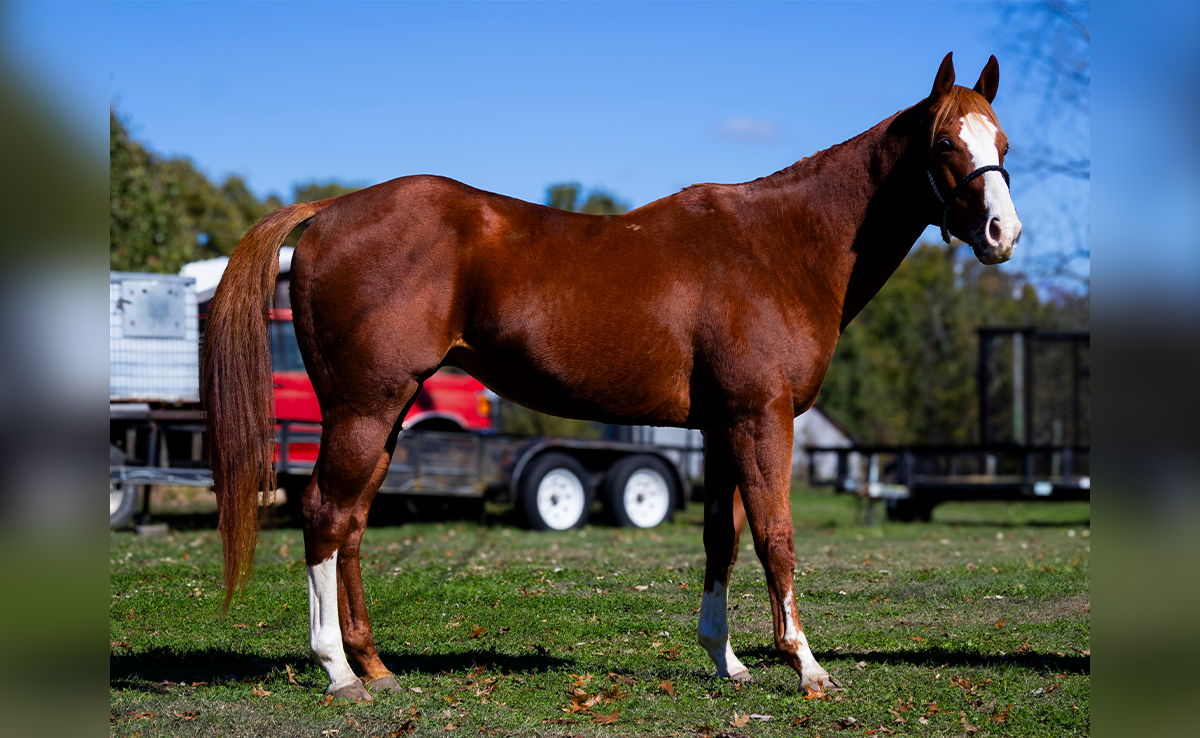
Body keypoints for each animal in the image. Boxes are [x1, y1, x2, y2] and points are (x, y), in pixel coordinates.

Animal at [202, 52, 1020, 701]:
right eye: (946, 141)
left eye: (1004, 142)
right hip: (365, 408)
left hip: (386, 416)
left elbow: (720, 538)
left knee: (352, 525)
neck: (777, 247)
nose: (1002, 234)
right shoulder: (761, 418)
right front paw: (806, 665)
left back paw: (374, 665)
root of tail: (330, 210)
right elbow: (776, 536)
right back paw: (338, 672)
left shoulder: (720, 427)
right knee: (323, 515)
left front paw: (726, 661)